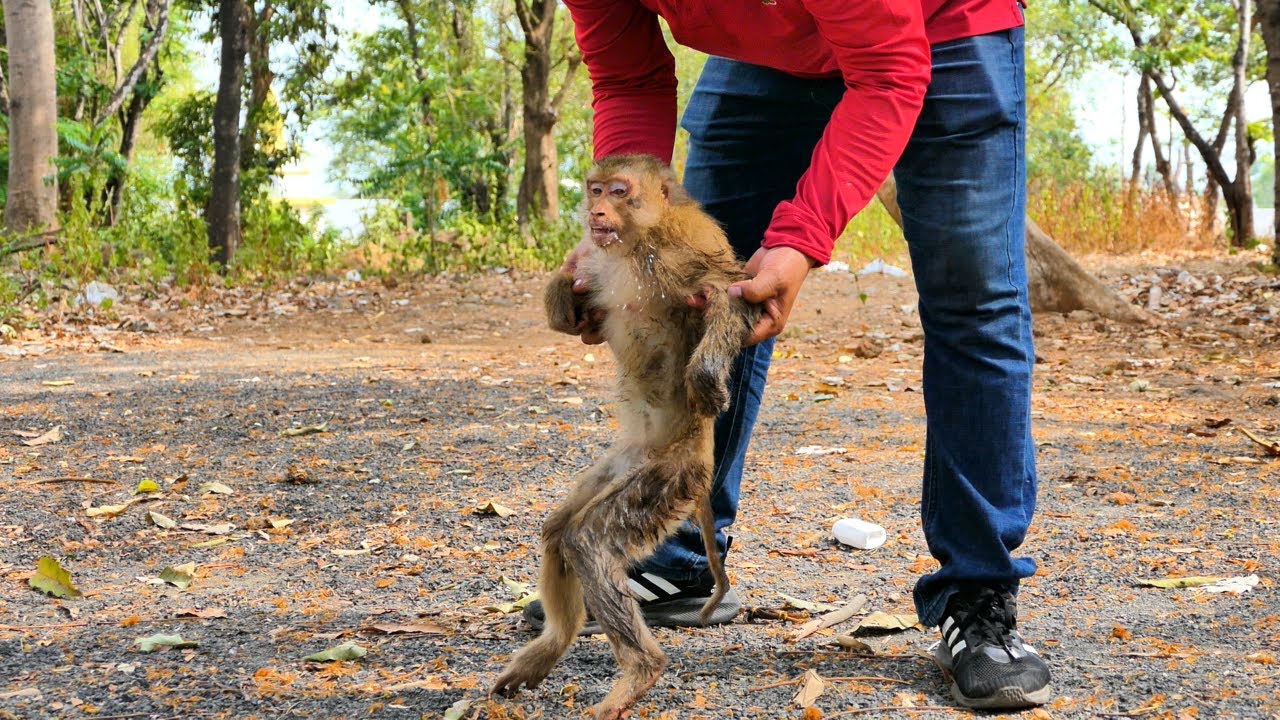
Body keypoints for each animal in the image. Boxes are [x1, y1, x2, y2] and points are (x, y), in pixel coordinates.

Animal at [492, 154, 761, 720]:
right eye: (595, 190)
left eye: (619, 191)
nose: (596, 210)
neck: (639, 242)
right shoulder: (595, 258)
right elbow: (570, 314)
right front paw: (565, 285)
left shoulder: (692, 239)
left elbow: (729, 294)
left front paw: (706, 376)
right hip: (626, 462)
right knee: (560, 529)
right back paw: (554, 644)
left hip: (672, 477)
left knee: (588, 540)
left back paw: (641, 670)